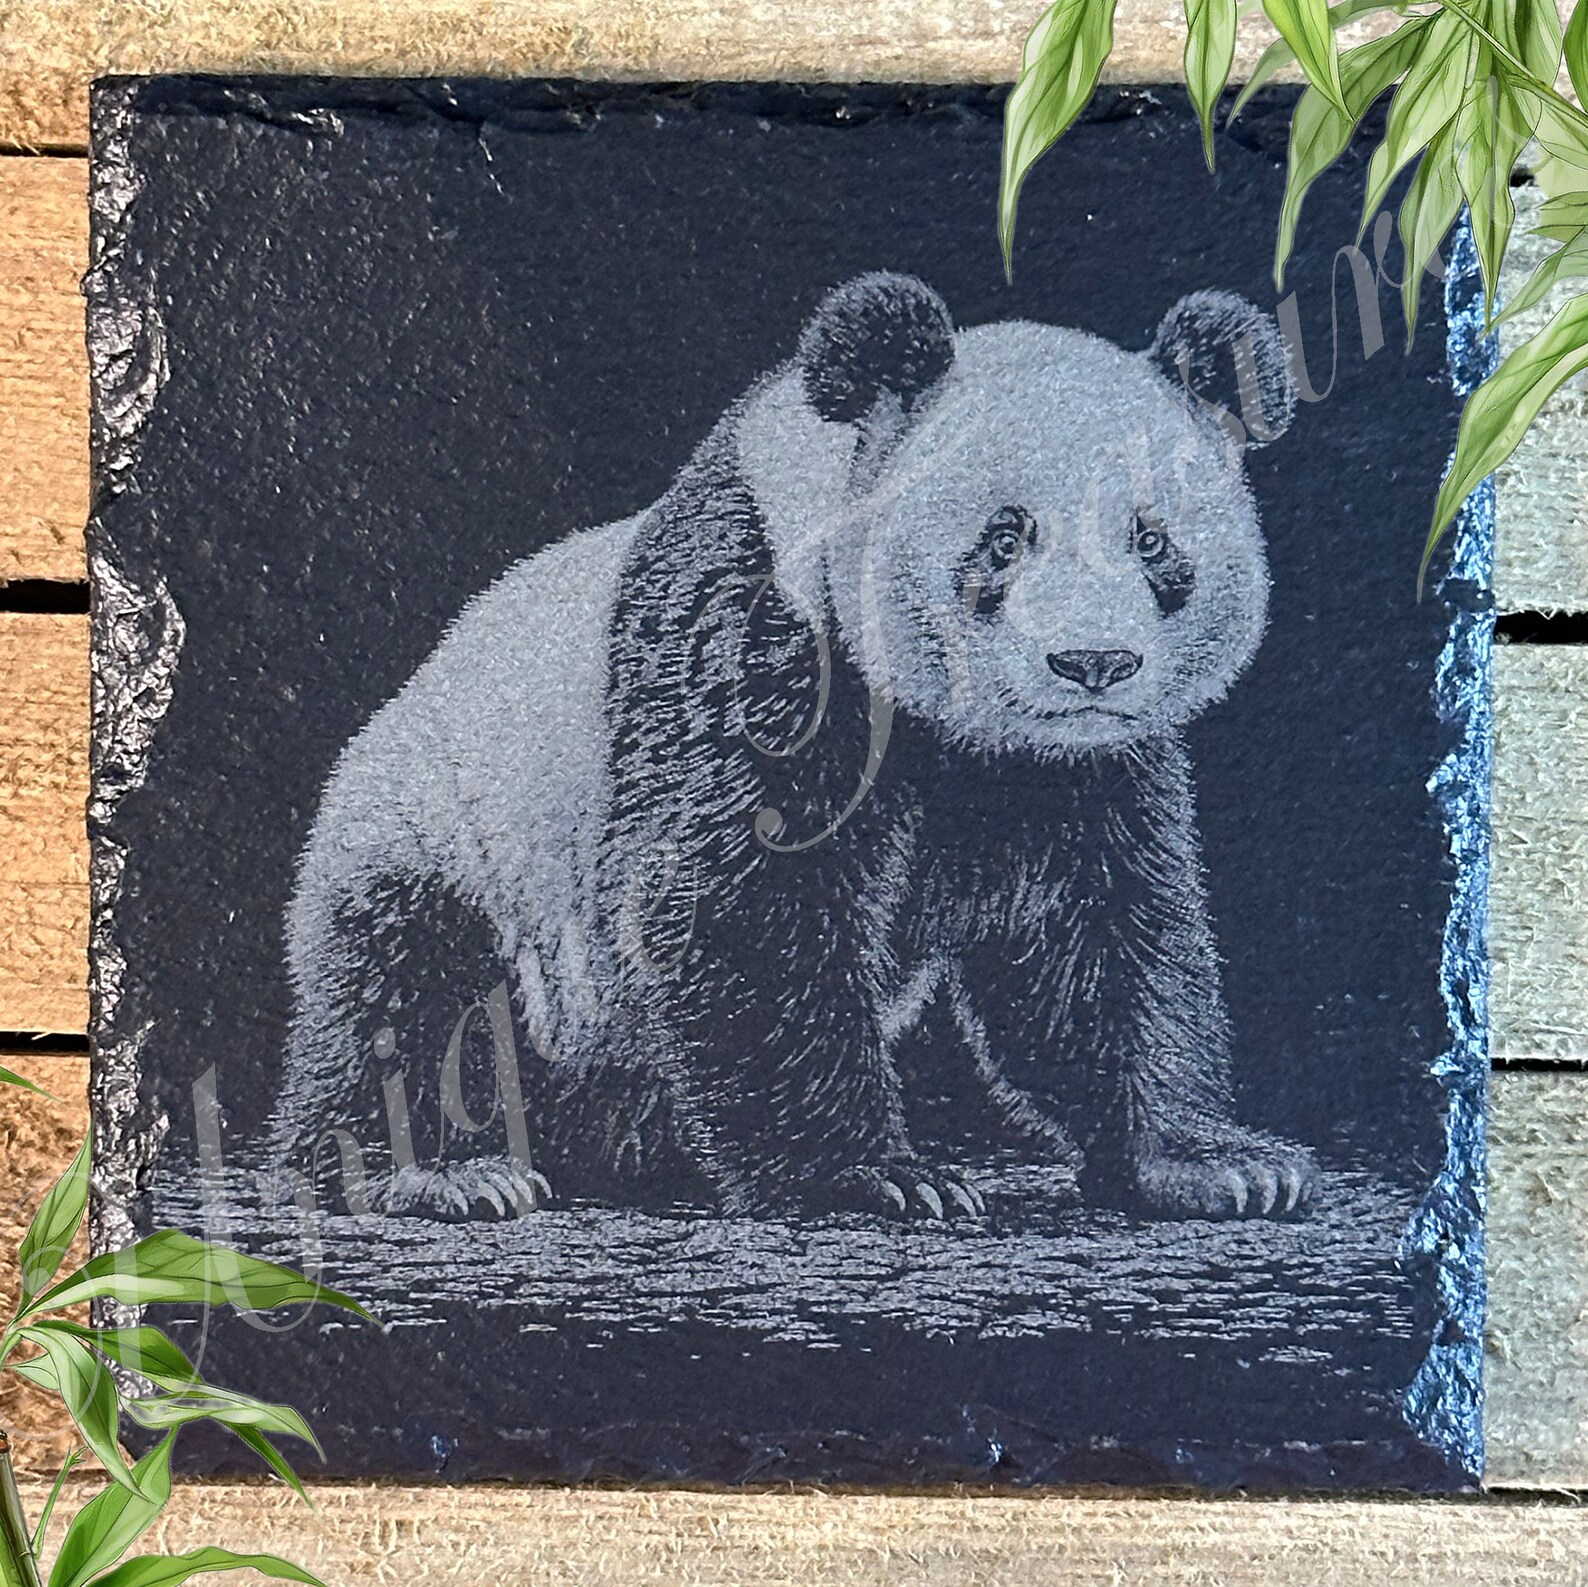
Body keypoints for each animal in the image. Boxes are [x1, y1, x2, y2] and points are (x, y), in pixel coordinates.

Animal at [272, 272, 1319, 1227]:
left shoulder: (1082, 770)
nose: (1094, 662)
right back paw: (442, 1172)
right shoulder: (756, 642)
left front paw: (1211, 1161)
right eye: (1004, 538)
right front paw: (878, 1176)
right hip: (446, 836)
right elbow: (737, 903)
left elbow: (1097, 937)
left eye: (1153, 540)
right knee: (408, 994)